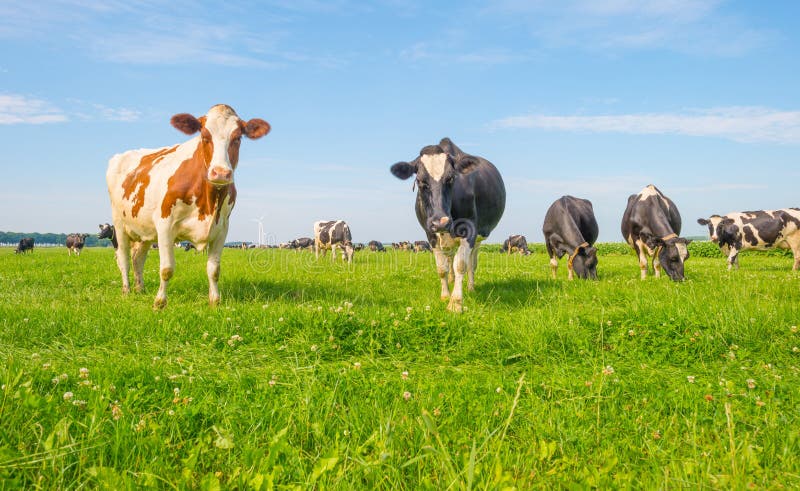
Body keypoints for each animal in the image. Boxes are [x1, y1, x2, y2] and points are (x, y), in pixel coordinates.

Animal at [106, 104, 270, 308]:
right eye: (205, 136)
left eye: (238, 138)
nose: (220, 173)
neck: (208, 202)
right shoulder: (164, 224)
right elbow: (166, 268)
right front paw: (159, 303)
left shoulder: (222, 228)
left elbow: (214, 269)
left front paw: (215, 301)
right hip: (119, 224)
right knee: (123, 259)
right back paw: (127, 290)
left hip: (145, 231)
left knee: (138, 258)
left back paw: (140, 288)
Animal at [390, 137, 505, 312]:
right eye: (420, 181)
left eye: (451, 178)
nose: (440, 222)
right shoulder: (430, 234)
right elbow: (441, 268)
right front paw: (445, 295)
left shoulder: (470, 229)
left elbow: (461, 265)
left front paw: (456, 303)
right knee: (450, 257)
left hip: (479, 238)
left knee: (472, 263)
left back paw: (470, 287)